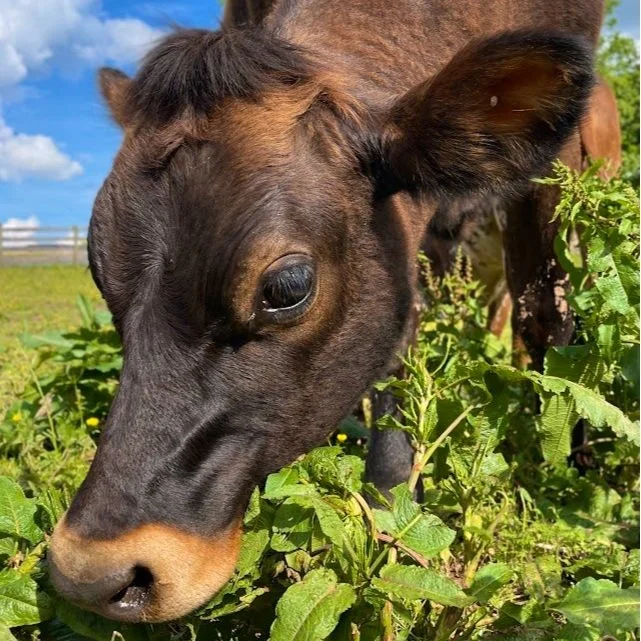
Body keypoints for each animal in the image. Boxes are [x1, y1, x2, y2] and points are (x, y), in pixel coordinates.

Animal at [49, 0, 614, 623]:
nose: (91, 573)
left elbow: (545, 312)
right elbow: (403, 339)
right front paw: (392, 498)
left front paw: (565, 462)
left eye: (288, 286)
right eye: (100, 272)